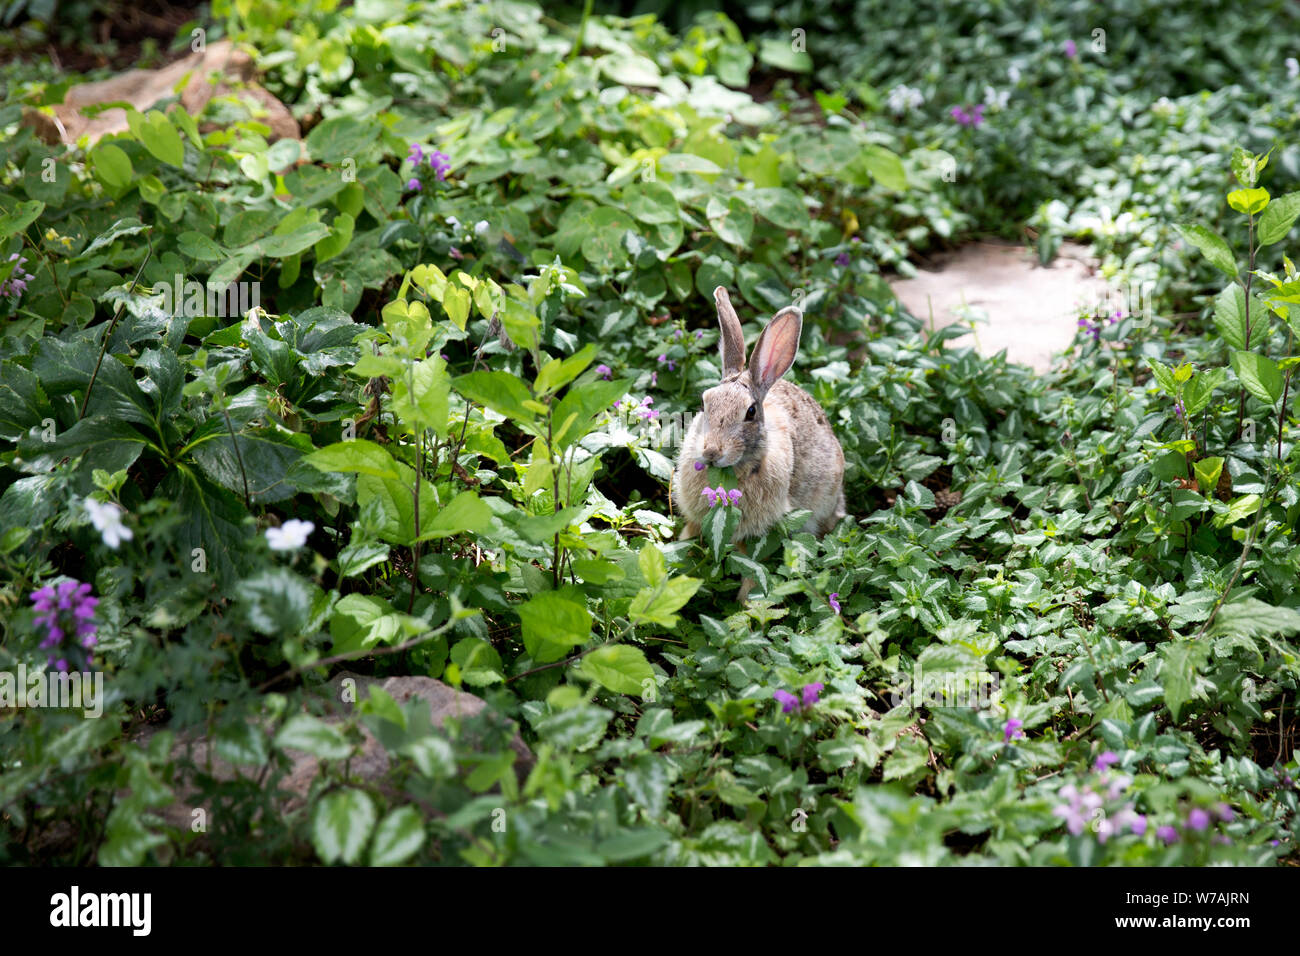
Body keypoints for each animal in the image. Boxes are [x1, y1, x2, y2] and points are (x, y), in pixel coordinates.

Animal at [673, 287, 846, 599]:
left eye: (751, 412)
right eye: (704, 403)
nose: (712, 451)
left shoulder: (758, 534)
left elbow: (752, 568)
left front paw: (746, 603)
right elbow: (688, 538)